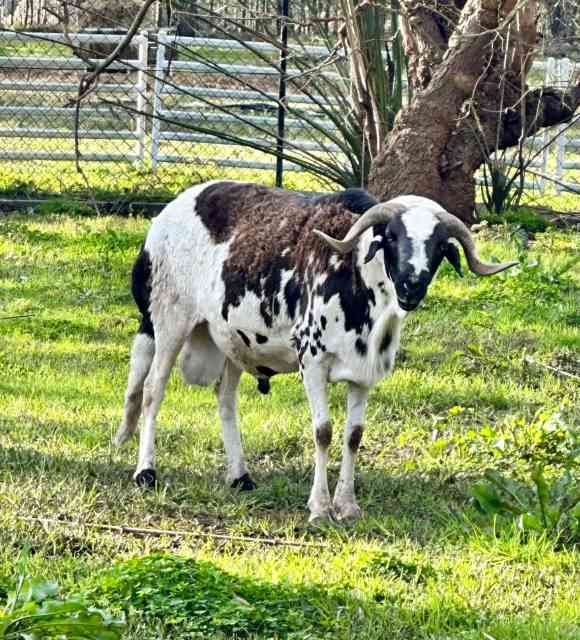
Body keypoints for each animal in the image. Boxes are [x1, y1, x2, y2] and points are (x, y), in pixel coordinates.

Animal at [115, 180, 517, 523]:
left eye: (439, 245)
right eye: (391, 236)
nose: (411, 285)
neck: (355, 277)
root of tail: (165, 216)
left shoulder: (364, 374)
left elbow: (354, 435)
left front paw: (347, 505)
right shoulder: (312, 362)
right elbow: (323, 431)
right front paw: (320, 507)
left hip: (231, 340)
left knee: (225, 400)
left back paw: (240, 475)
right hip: (169, 322)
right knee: (151, 390)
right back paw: (146, 471)